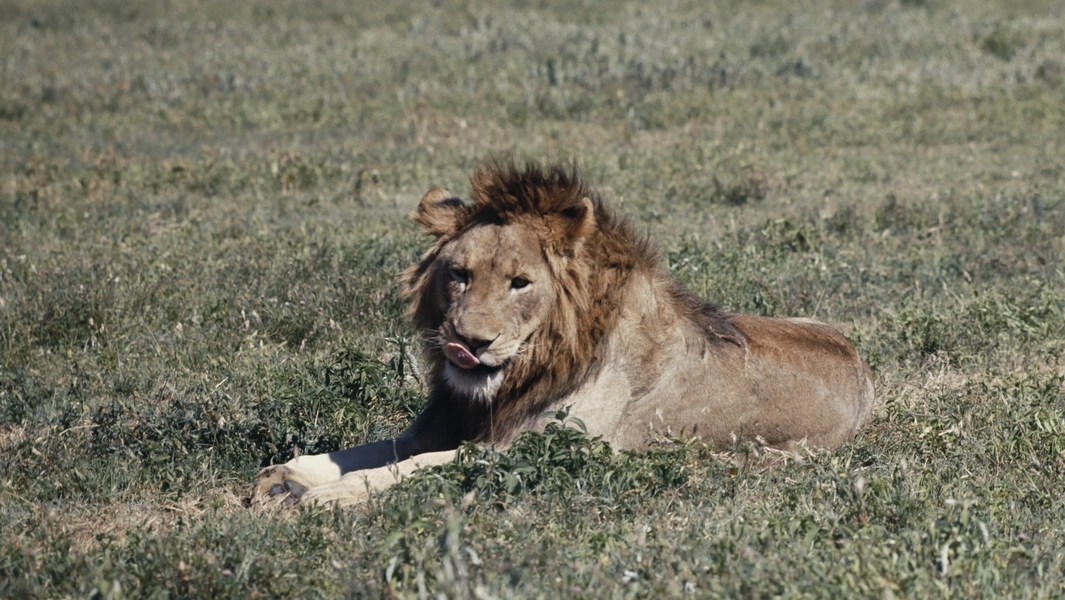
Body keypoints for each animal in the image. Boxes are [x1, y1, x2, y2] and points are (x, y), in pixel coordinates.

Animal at [254, 159, 874, 506]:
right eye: (460, 275)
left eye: (520, 283)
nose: (469, 343)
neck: (513, 381)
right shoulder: (436, 424)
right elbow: (368, 450)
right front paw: (287, 476)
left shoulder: (532, 447)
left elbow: (414, 467)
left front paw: (326, 497)